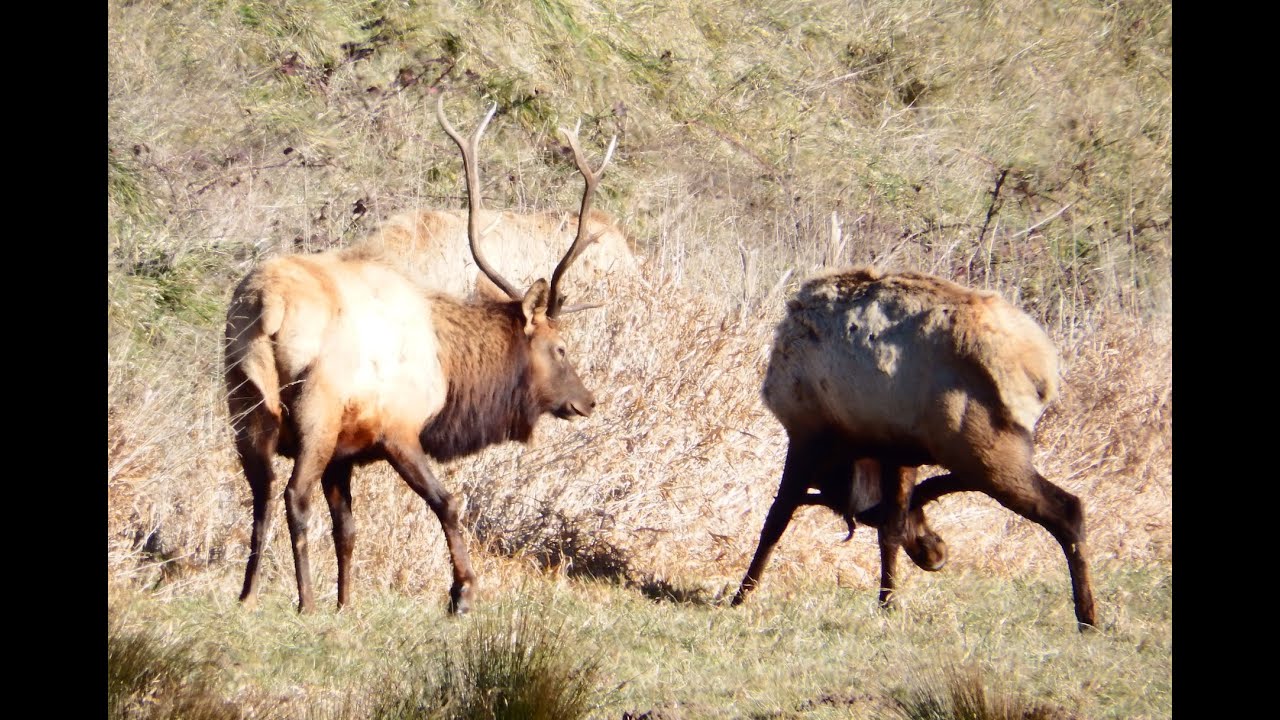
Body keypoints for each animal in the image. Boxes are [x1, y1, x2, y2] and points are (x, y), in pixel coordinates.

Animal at [223, 93, 616, 614]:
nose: (587, 400)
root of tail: (267, 304)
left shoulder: (347, 451)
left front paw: (346, 603)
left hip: (245, 404)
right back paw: (304, 600)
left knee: (262, 497)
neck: (452, 372)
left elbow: (347, 528)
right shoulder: (399, 429)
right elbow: (446, 502)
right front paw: (463, 591)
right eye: (561, 348)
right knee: (294, 497)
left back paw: (248, 594)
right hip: (315, 410)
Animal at [731, 267, 1098, 632]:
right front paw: (888, 602)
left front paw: (738, 596)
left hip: (983, 450)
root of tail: (1040, 368)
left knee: (1068, 508)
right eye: (919, 516)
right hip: (978, 451)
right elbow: (891, 530)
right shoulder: (898, 452)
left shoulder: (807, 434)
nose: (936, 554)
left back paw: (1087, 618)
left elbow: (775, 521)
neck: (850, 457)